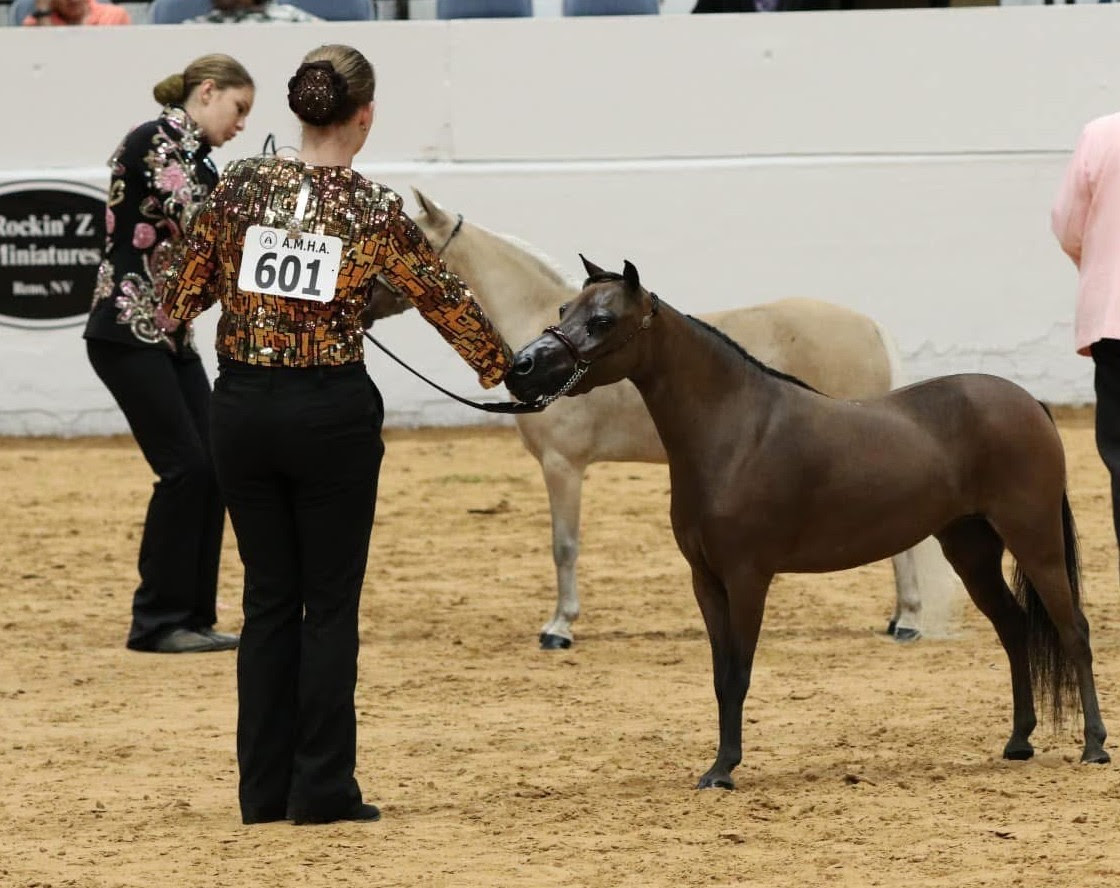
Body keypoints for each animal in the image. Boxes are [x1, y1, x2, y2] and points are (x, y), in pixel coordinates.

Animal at [395, 192, 959, 649]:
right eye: (564, 309)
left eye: (409, 238)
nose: (522, 370)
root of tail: (869, 326)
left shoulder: (563, 466)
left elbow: (564, 547)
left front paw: (559, 628)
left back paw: (908, 622)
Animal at [505, 257, 1109, 788]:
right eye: (563, 308)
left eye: (602, 320)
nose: (520, 369)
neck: (734, 430)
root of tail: (1028, 402)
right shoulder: (706, 581)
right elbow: (720, 676)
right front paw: (718, 763)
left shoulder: (748, 577)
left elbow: (739, 672)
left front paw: (722, 771)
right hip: (971, 548)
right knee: (1013, 627)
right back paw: (1019, 742)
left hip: (1035, 540)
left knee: (1072, 629)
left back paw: (1094, 747)